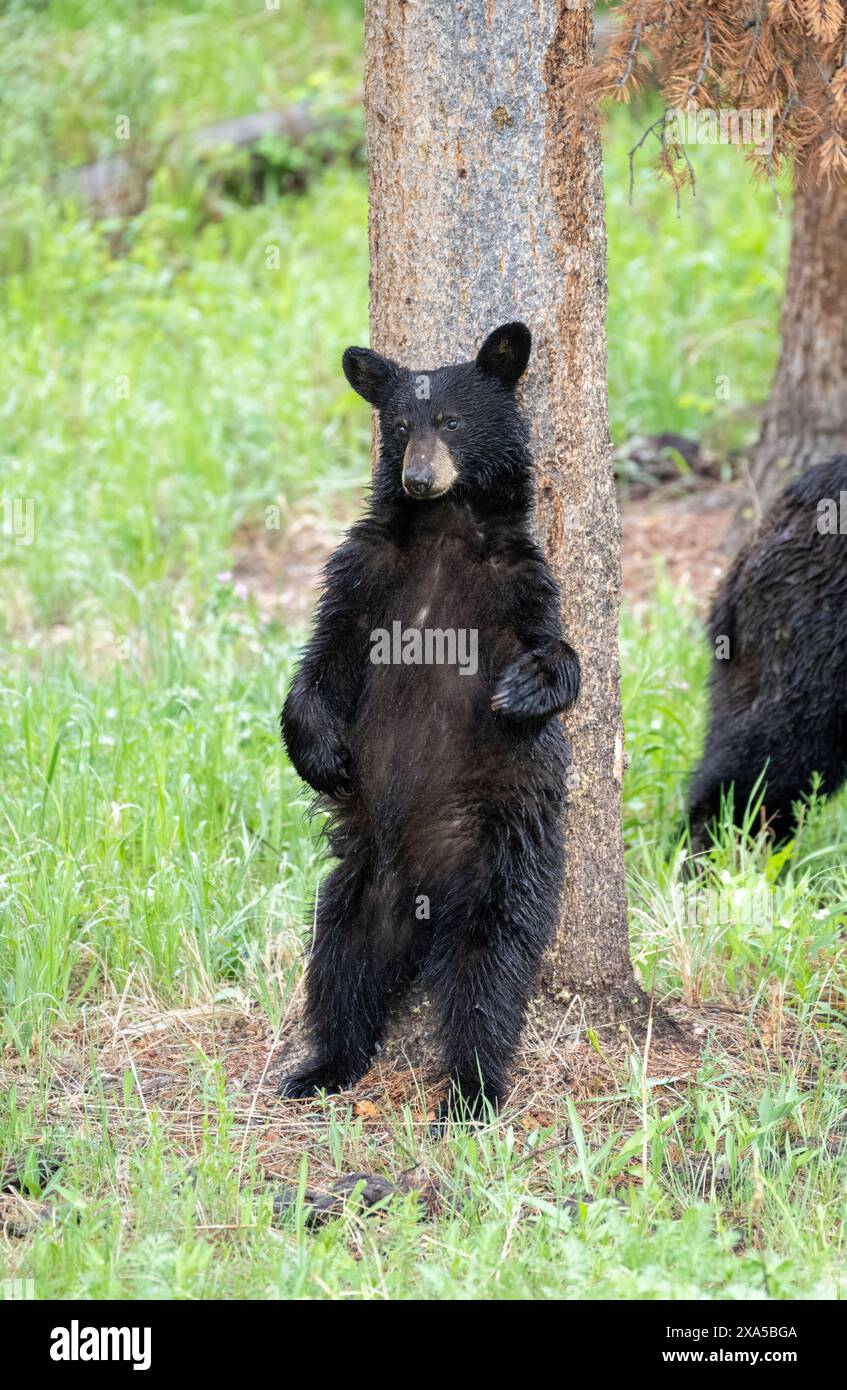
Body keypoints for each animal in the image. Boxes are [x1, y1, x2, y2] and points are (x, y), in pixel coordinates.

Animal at [278, 322, 581, 1119]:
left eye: (450, 421)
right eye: (398, 426)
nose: (418, 478)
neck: (444, 529)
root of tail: (422, 890)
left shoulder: (519, 580)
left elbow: (559, 651)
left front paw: (522, 691)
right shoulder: (366, 572)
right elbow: (326, 653)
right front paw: (318, 751)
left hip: (496, 860)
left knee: (488, 969)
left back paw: (471, 1089)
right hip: (362, 881)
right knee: (340, 961)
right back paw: (322, 1065)